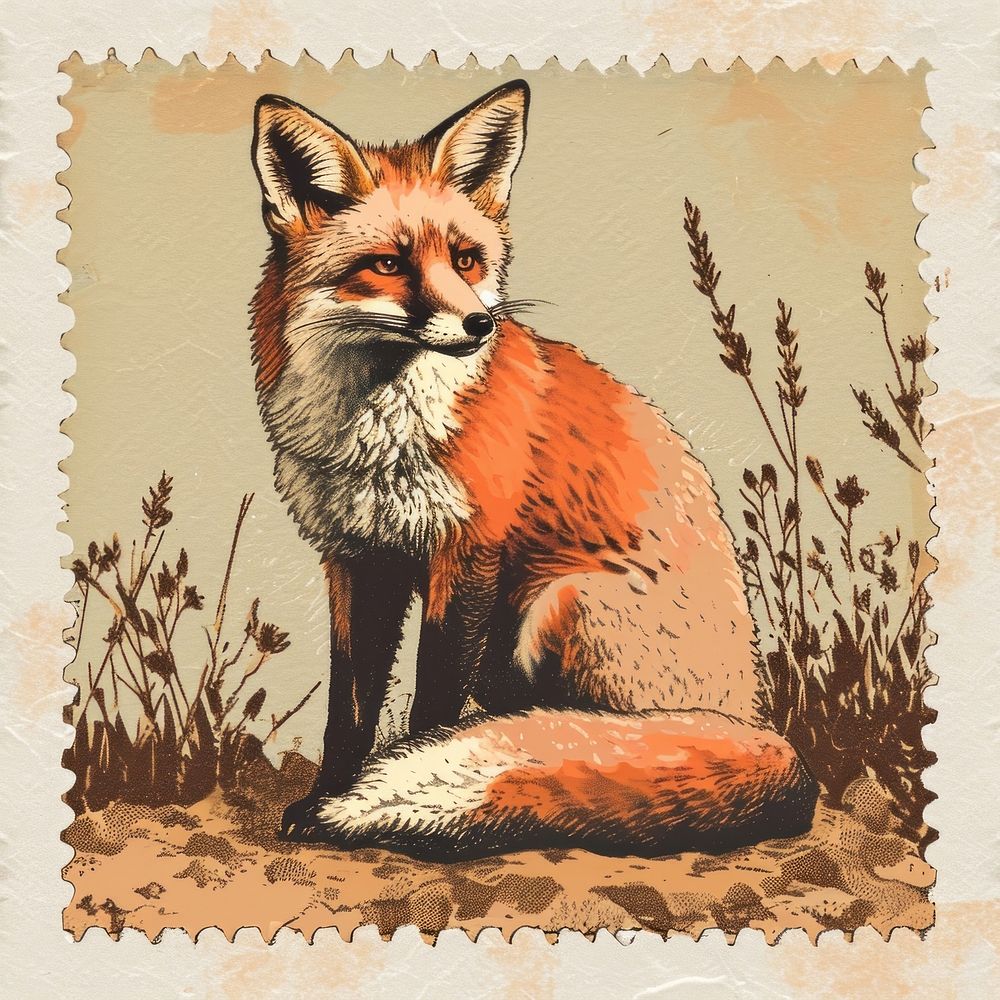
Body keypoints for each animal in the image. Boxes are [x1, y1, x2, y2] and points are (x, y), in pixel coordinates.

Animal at [249, 80, 818, 859]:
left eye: (466, 259)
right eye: (388, 265)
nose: (478, 325)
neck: (377, 436)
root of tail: (760, 724)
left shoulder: (469, 549)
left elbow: (432, 699)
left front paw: (398, 787)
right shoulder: (358, 556)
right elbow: (351, 705)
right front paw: (324, 800)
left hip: (557, 603)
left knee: (583, 731)